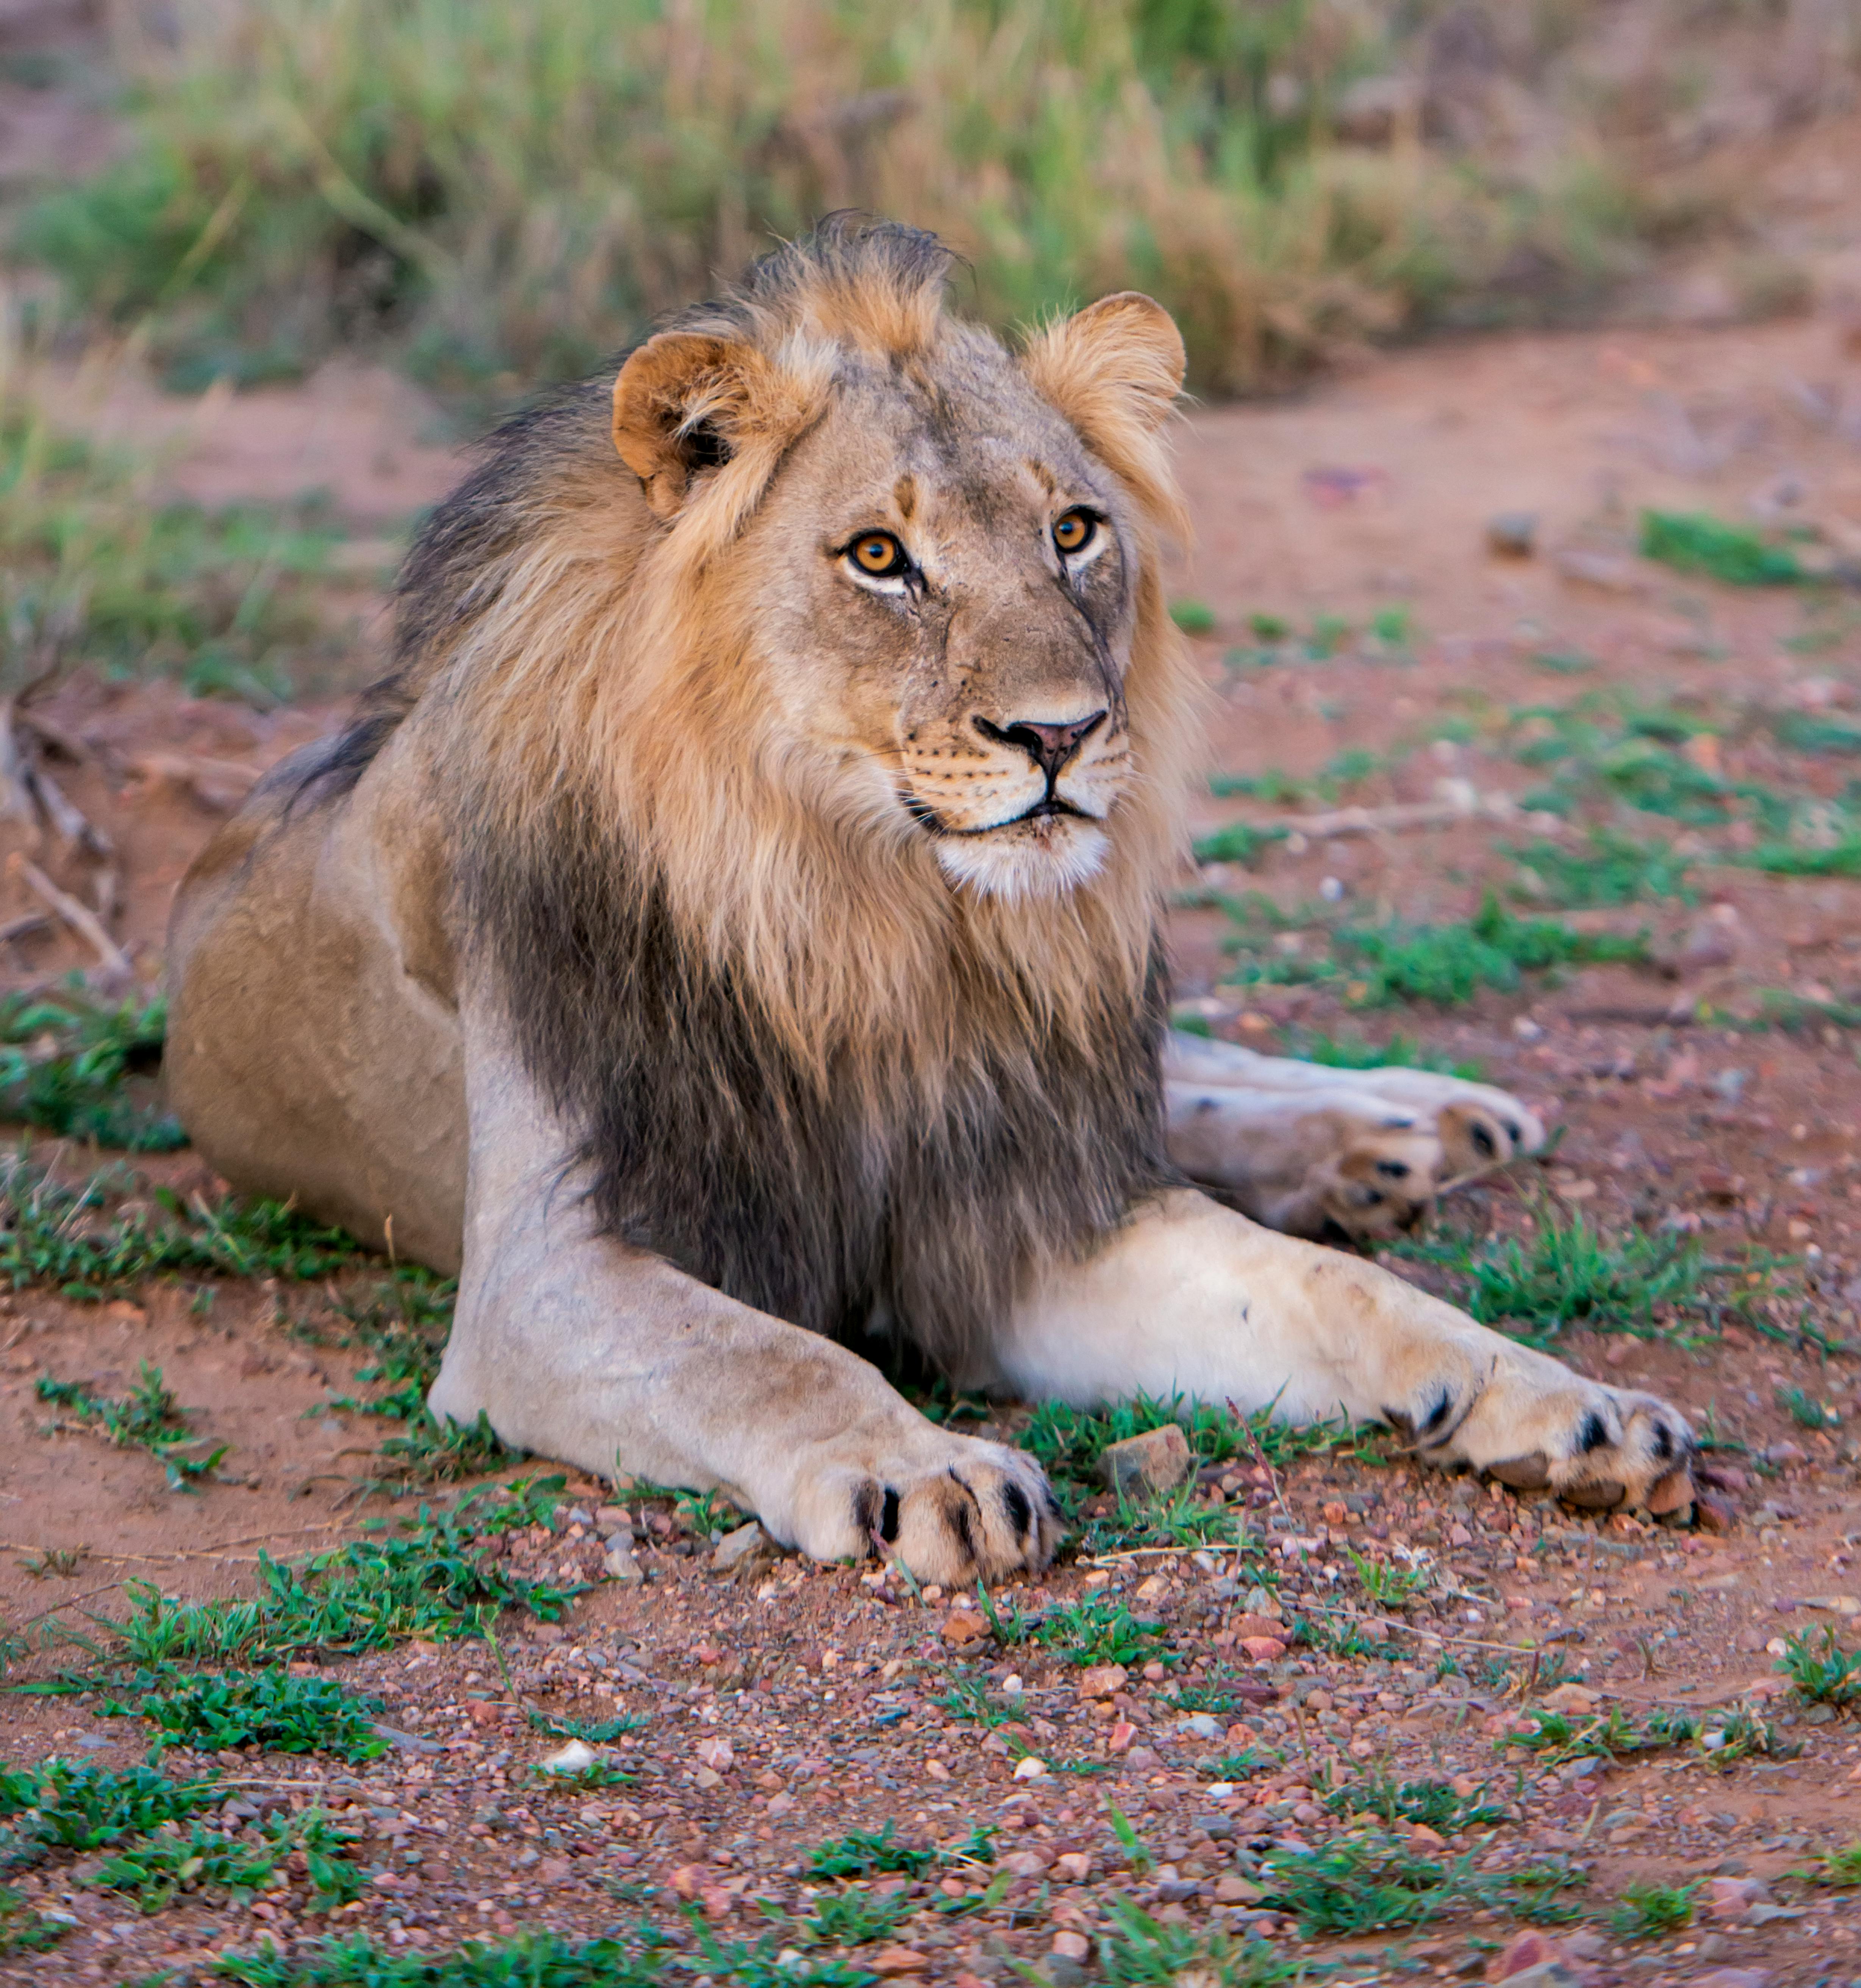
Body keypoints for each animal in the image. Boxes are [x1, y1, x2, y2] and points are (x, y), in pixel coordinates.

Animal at [165, 219, 1696, 1584]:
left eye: (1073, 531)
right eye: (877, 558)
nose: (1060, 735)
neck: (874, 921)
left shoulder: (1018, 1205)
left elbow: (1335, 1290)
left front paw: (1563, 1403)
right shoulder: (543, 1278)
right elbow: (775, 1358)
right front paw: (932, 1471)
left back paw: (1413, 1120)